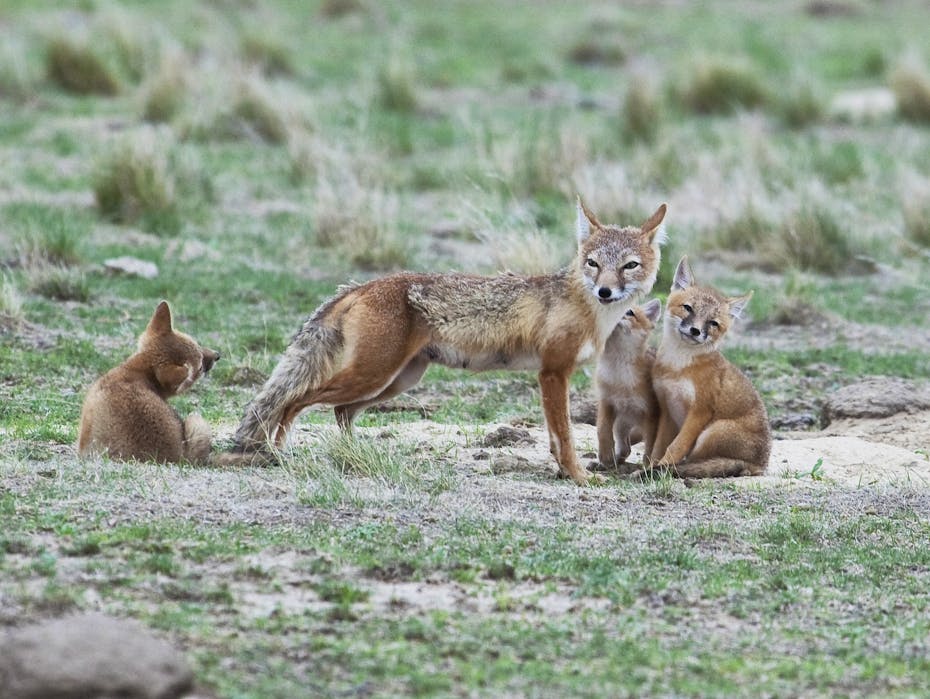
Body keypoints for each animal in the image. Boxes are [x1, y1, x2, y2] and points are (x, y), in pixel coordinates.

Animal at [594, 298, 661, 472]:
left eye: (630, 312)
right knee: (626, 447)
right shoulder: (607, 402)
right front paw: (605, 455)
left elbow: (651, 445)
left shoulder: (651, 412)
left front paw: (646, 468)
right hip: (621, 424)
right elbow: (602, 429)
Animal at [636, 256, 771, 479]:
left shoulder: (699, 412)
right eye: (688, 308)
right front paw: (652, 467)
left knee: (699, 461)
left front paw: (659, 469)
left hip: (711, 431)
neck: (678, 367)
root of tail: (761, 465)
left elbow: (676, 446)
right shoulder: (667, 408)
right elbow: (658, 447)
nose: (695, 331)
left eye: (713, 323)